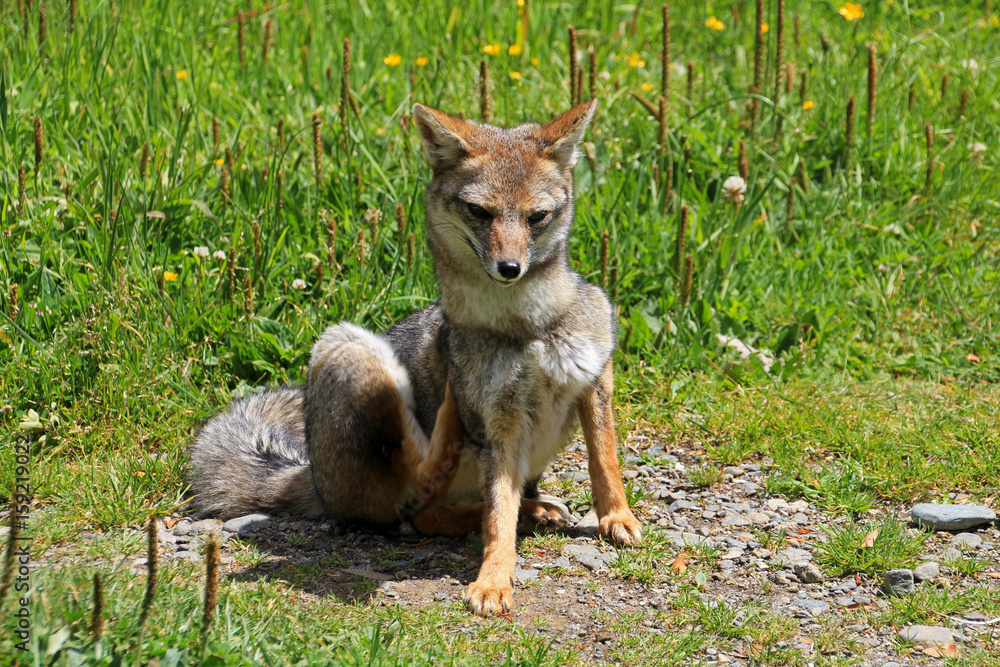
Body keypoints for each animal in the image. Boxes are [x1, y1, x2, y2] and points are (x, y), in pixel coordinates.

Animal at [188, 99, 642, 615]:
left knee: (438, 510)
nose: (509, 268)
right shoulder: (497, 422)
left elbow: (604, 462)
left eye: (537, 217)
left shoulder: (596, 381)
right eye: (479, 212)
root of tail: (316, 480)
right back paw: (464, 457)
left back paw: (534, 509)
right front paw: (494, 580)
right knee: (421, 502)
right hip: (354, 348)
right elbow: (497, 520)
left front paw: (617, 518)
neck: (532, 330)